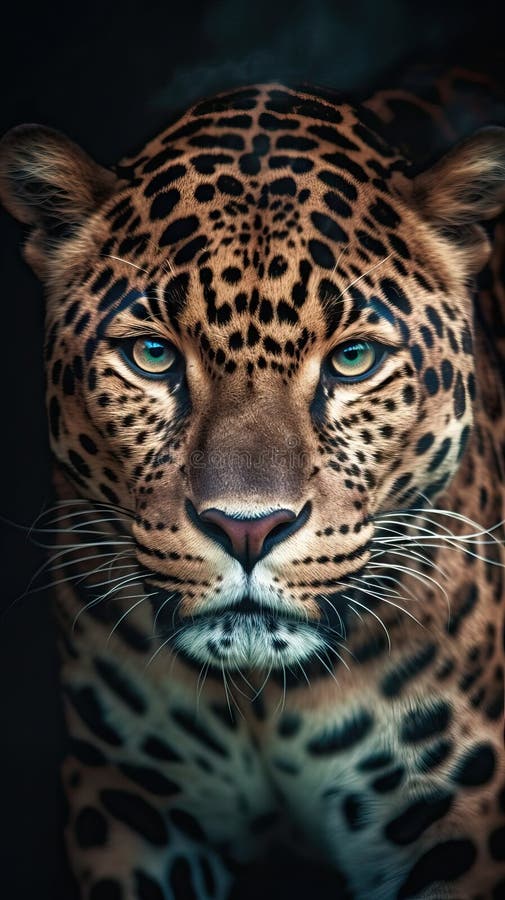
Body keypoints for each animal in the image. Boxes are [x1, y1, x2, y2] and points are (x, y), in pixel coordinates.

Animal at [1, 66, 504, 900]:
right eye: (152, 356)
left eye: (353, 360)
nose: (247, 528)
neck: (264, 701)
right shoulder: (132, 803)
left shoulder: (459, 811)